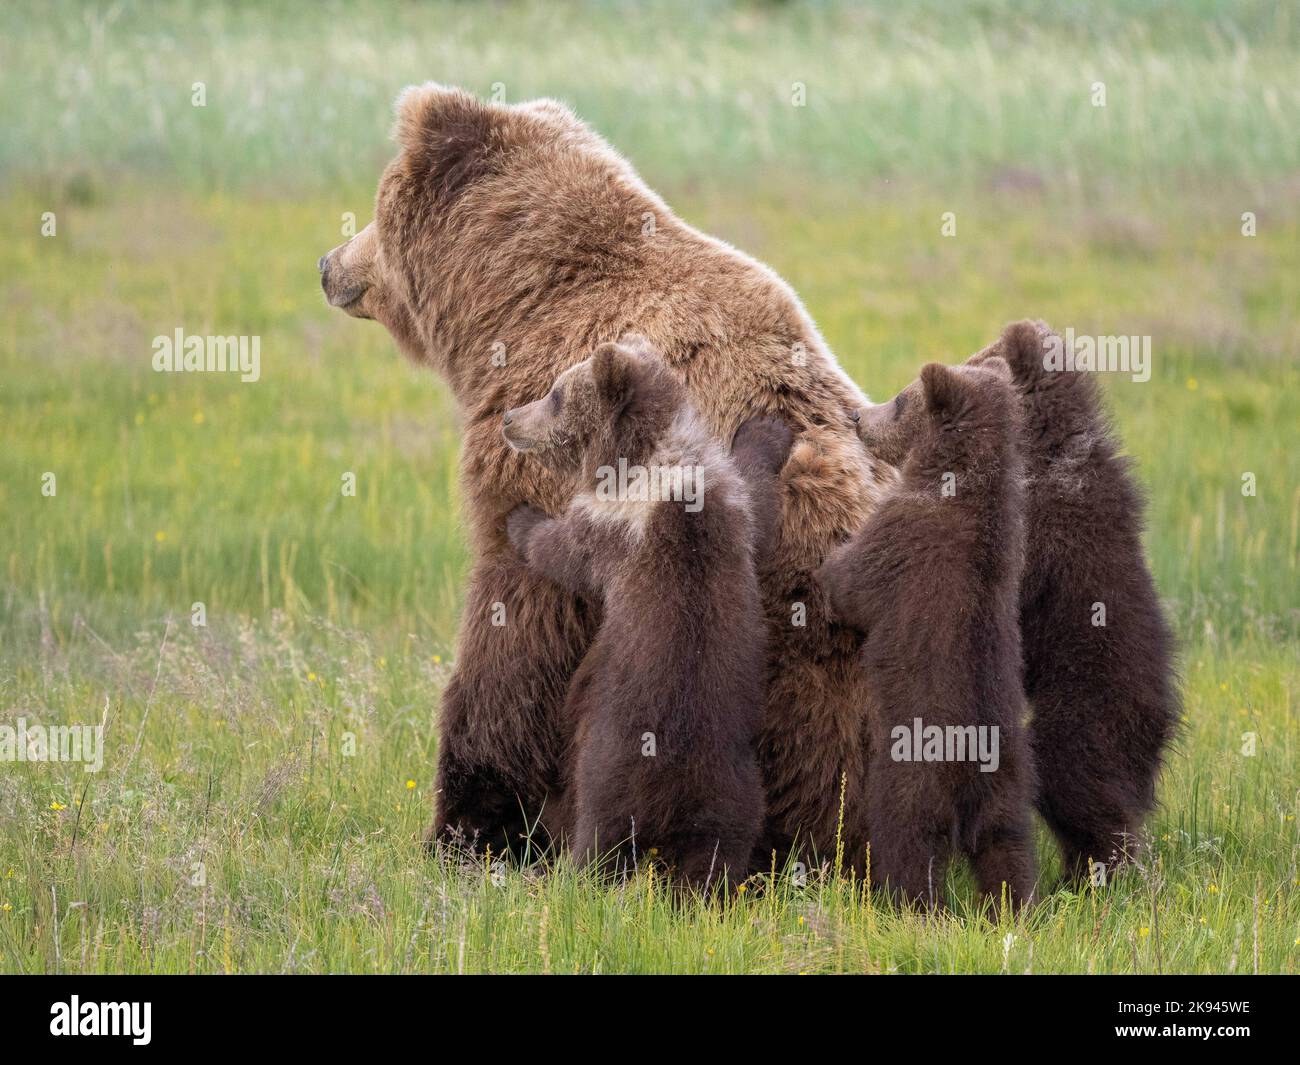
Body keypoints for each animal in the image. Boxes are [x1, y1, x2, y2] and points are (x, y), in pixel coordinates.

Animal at [500, 334, 792, 891]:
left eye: (555, 394)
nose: (509, 418)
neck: (649, 460)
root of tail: (672, 791)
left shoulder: (611, 529)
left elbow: (561, 551)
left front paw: (520, 517)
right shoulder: (733, 512)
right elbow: (760, 498)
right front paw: (768, 428)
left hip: (605, 762)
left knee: (596, 830)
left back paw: (569, 872)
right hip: (736, 790)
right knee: (720, 851)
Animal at [815, 358, 1037, 910]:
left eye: (899, 399)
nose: (857, 416)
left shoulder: (900, 539)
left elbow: (848, 583)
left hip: (913, 776)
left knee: (910, 842)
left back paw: (912, 905)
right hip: (1009, 787)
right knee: (1009, 850)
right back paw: (1018, 908)